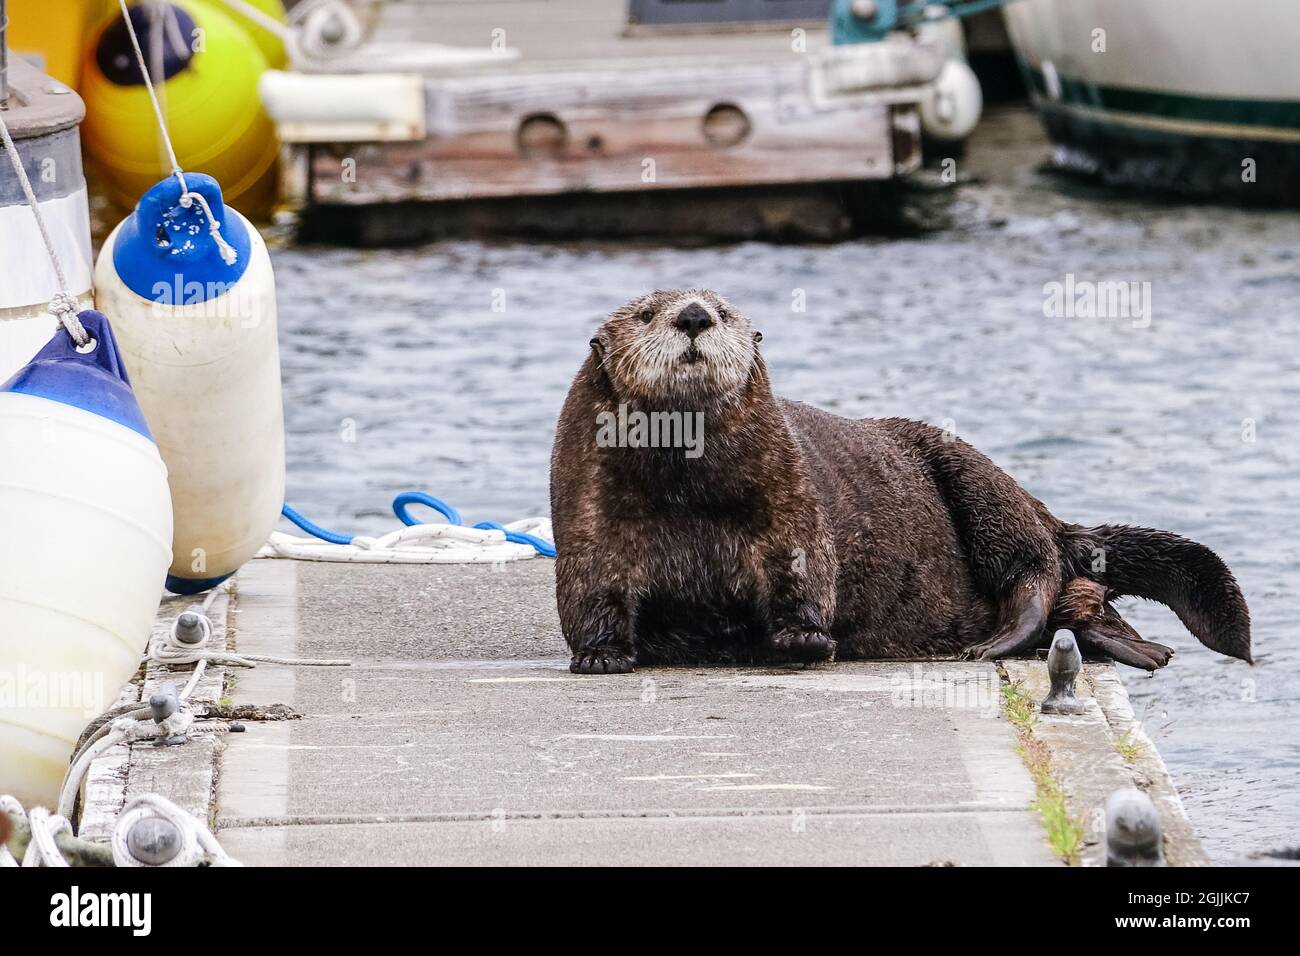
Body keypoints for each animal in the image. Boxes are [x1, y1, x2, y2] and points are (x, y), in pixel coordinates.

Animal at [549, 289, 1252, 675]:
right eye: (647, 313)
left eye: (722, 311)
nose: (694, 316)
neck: (688, 491)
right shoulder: (588, 514)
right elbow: (591, 590)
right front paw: (601, 655)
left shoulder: (788, 499)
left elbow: (804, 568)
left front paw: (804, 638)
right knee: (1077, 601)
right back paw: (1128, 645)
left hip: (974, 475)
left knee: (1036, 569)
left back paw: (999, 645)